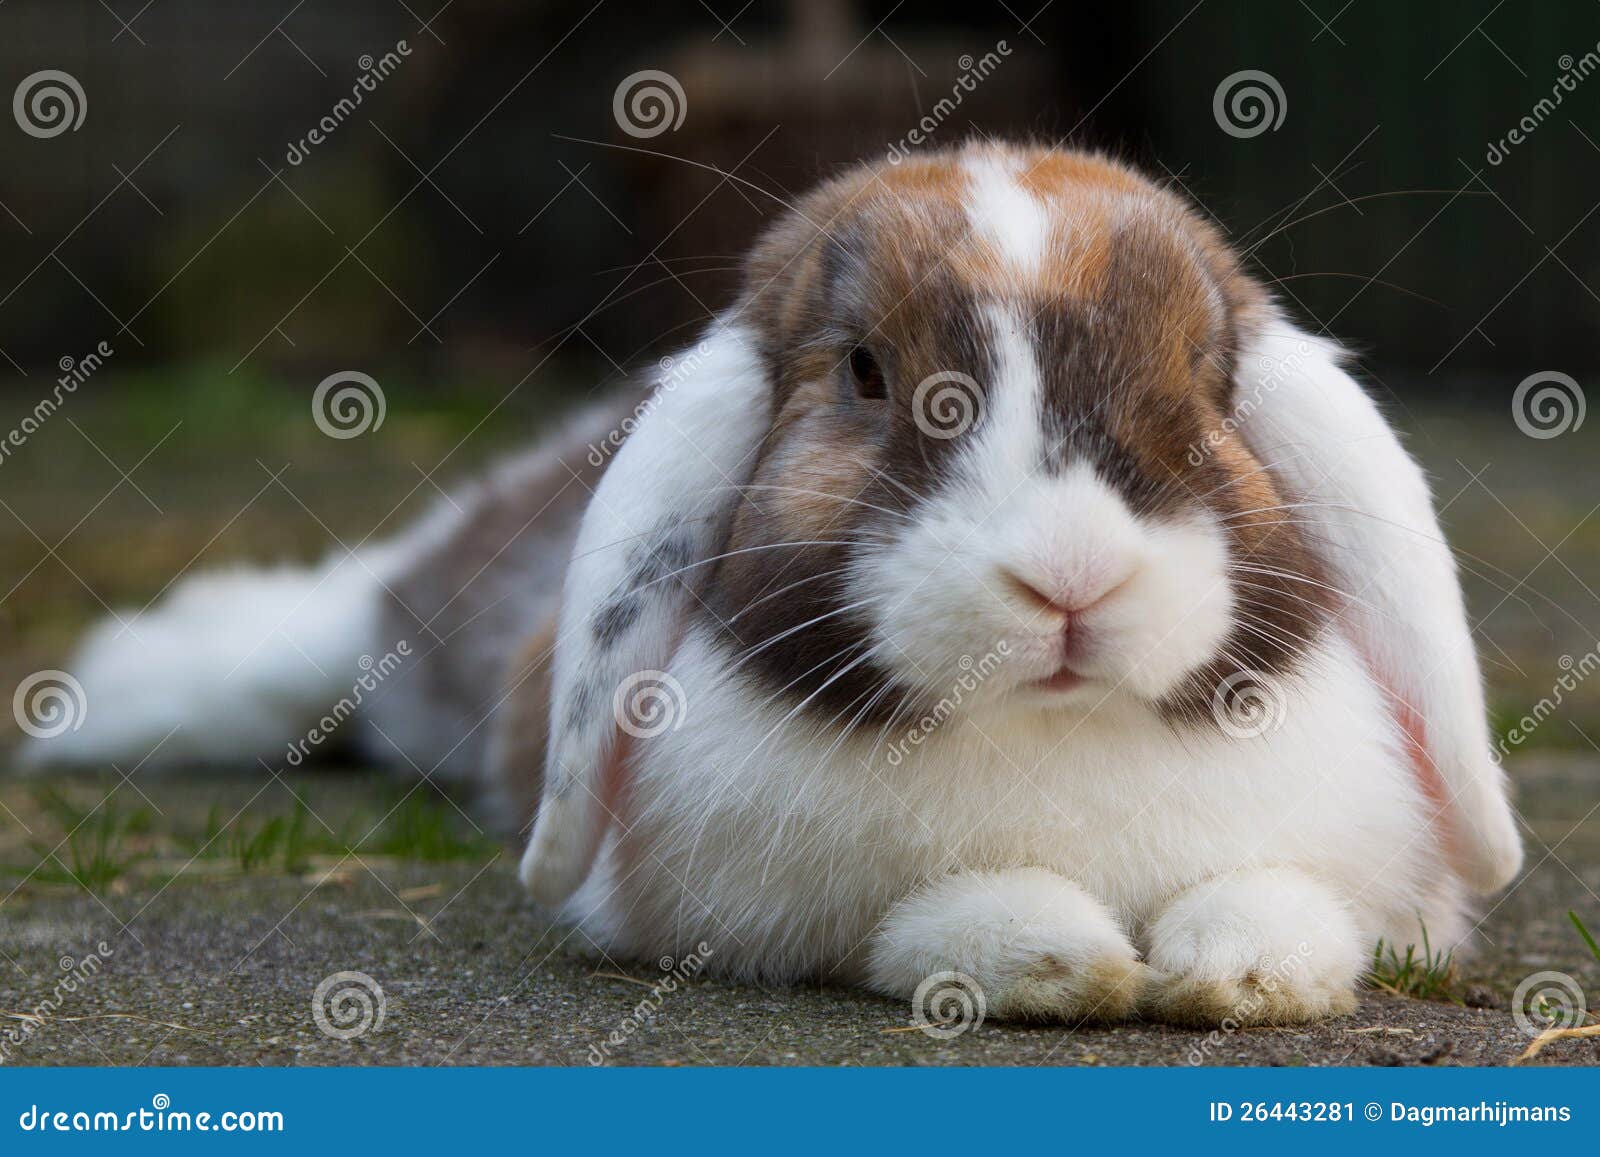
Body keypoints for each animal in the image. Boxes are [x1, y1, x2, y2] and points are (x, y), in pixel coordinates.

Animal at [515, 141, 1524, 1027]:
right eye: (864, 369)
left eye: (1203, 369)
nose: (1071, 571)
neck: (1055, 727)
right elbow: (917, 928)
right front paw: (1059, 958)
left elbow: (1285, 903)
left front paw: (1238, 971)